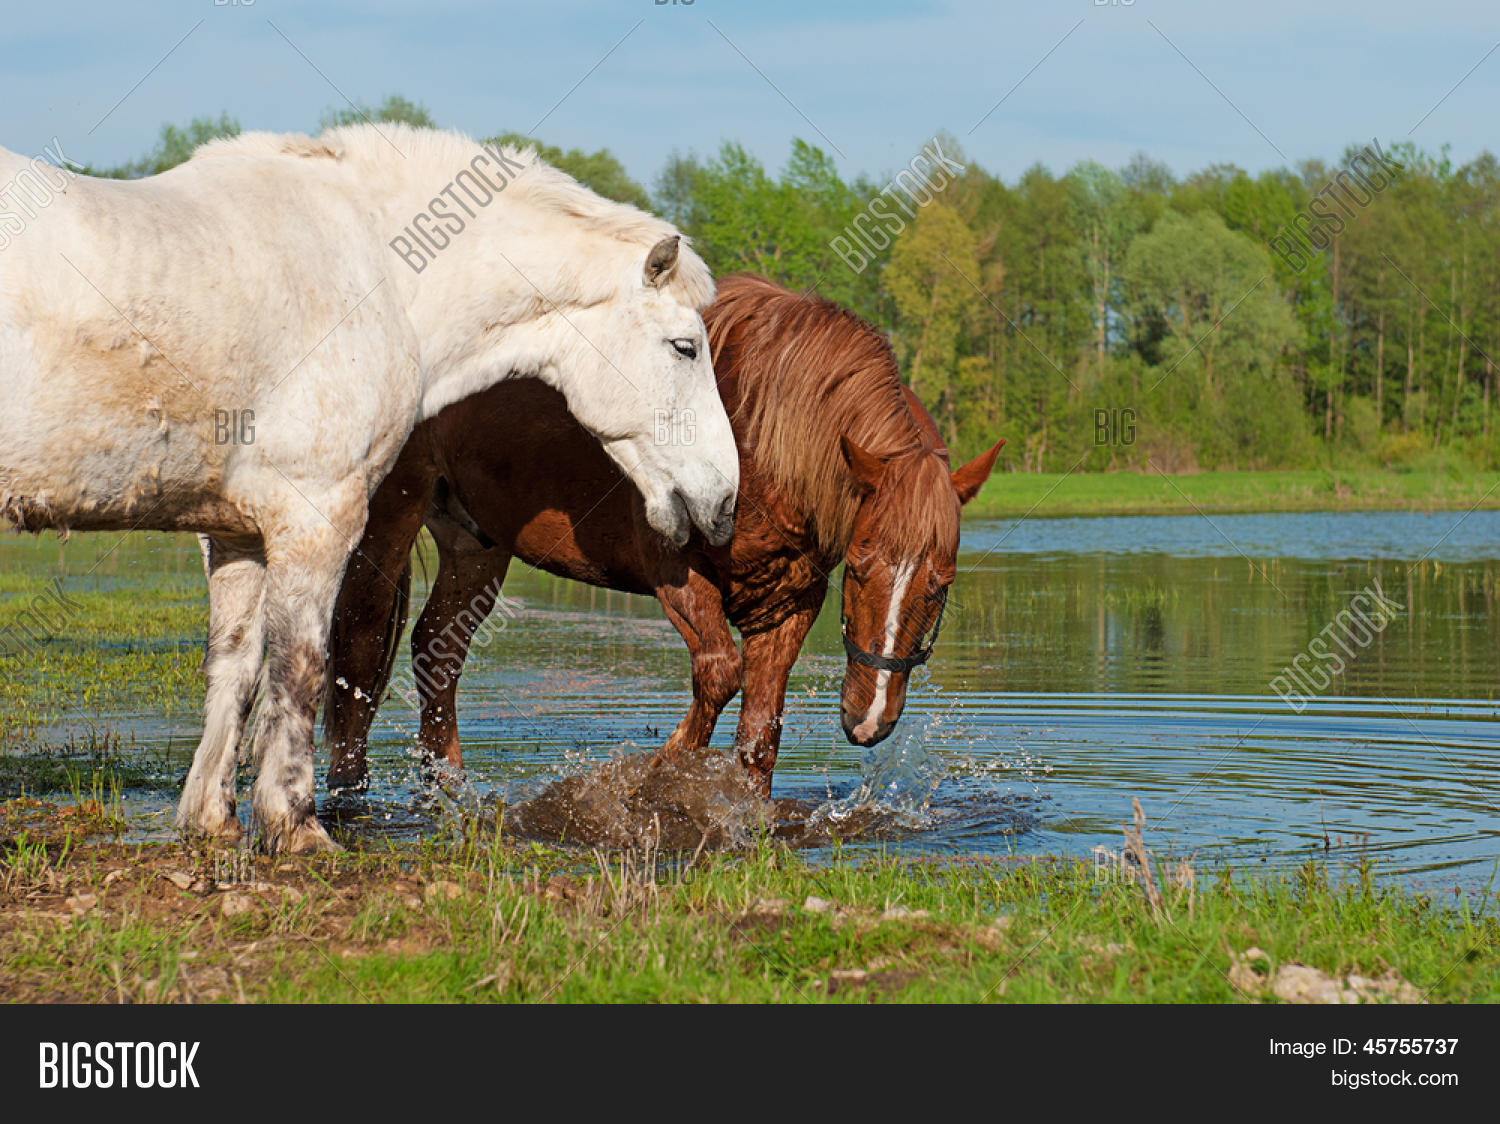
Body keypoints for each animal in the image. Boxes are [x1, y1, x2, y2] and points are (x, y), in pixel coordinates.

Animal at [0, 123, 739, 852]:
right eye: (684, 348)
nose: (726, 497)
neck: (372, 264)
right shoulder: (315, 516)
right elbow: (300, 668)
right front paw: (295, 825)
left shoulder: (238, 535)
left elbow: (235, 669)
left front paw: (213, 819)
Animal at [324, 274, 1001, 798]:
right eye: (860, 566)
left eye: (941, 586)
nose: (870, 721)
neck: (758, 432)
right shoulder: (674, 569)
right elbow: (719, 674)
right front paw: (651, 783)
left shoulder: (789, 604)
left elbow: (760, 734)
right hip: (391, 515)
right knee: (361, 642)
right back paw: (348, 791)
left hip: (477, 542)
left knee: (436, 651)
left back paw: (449, 789)